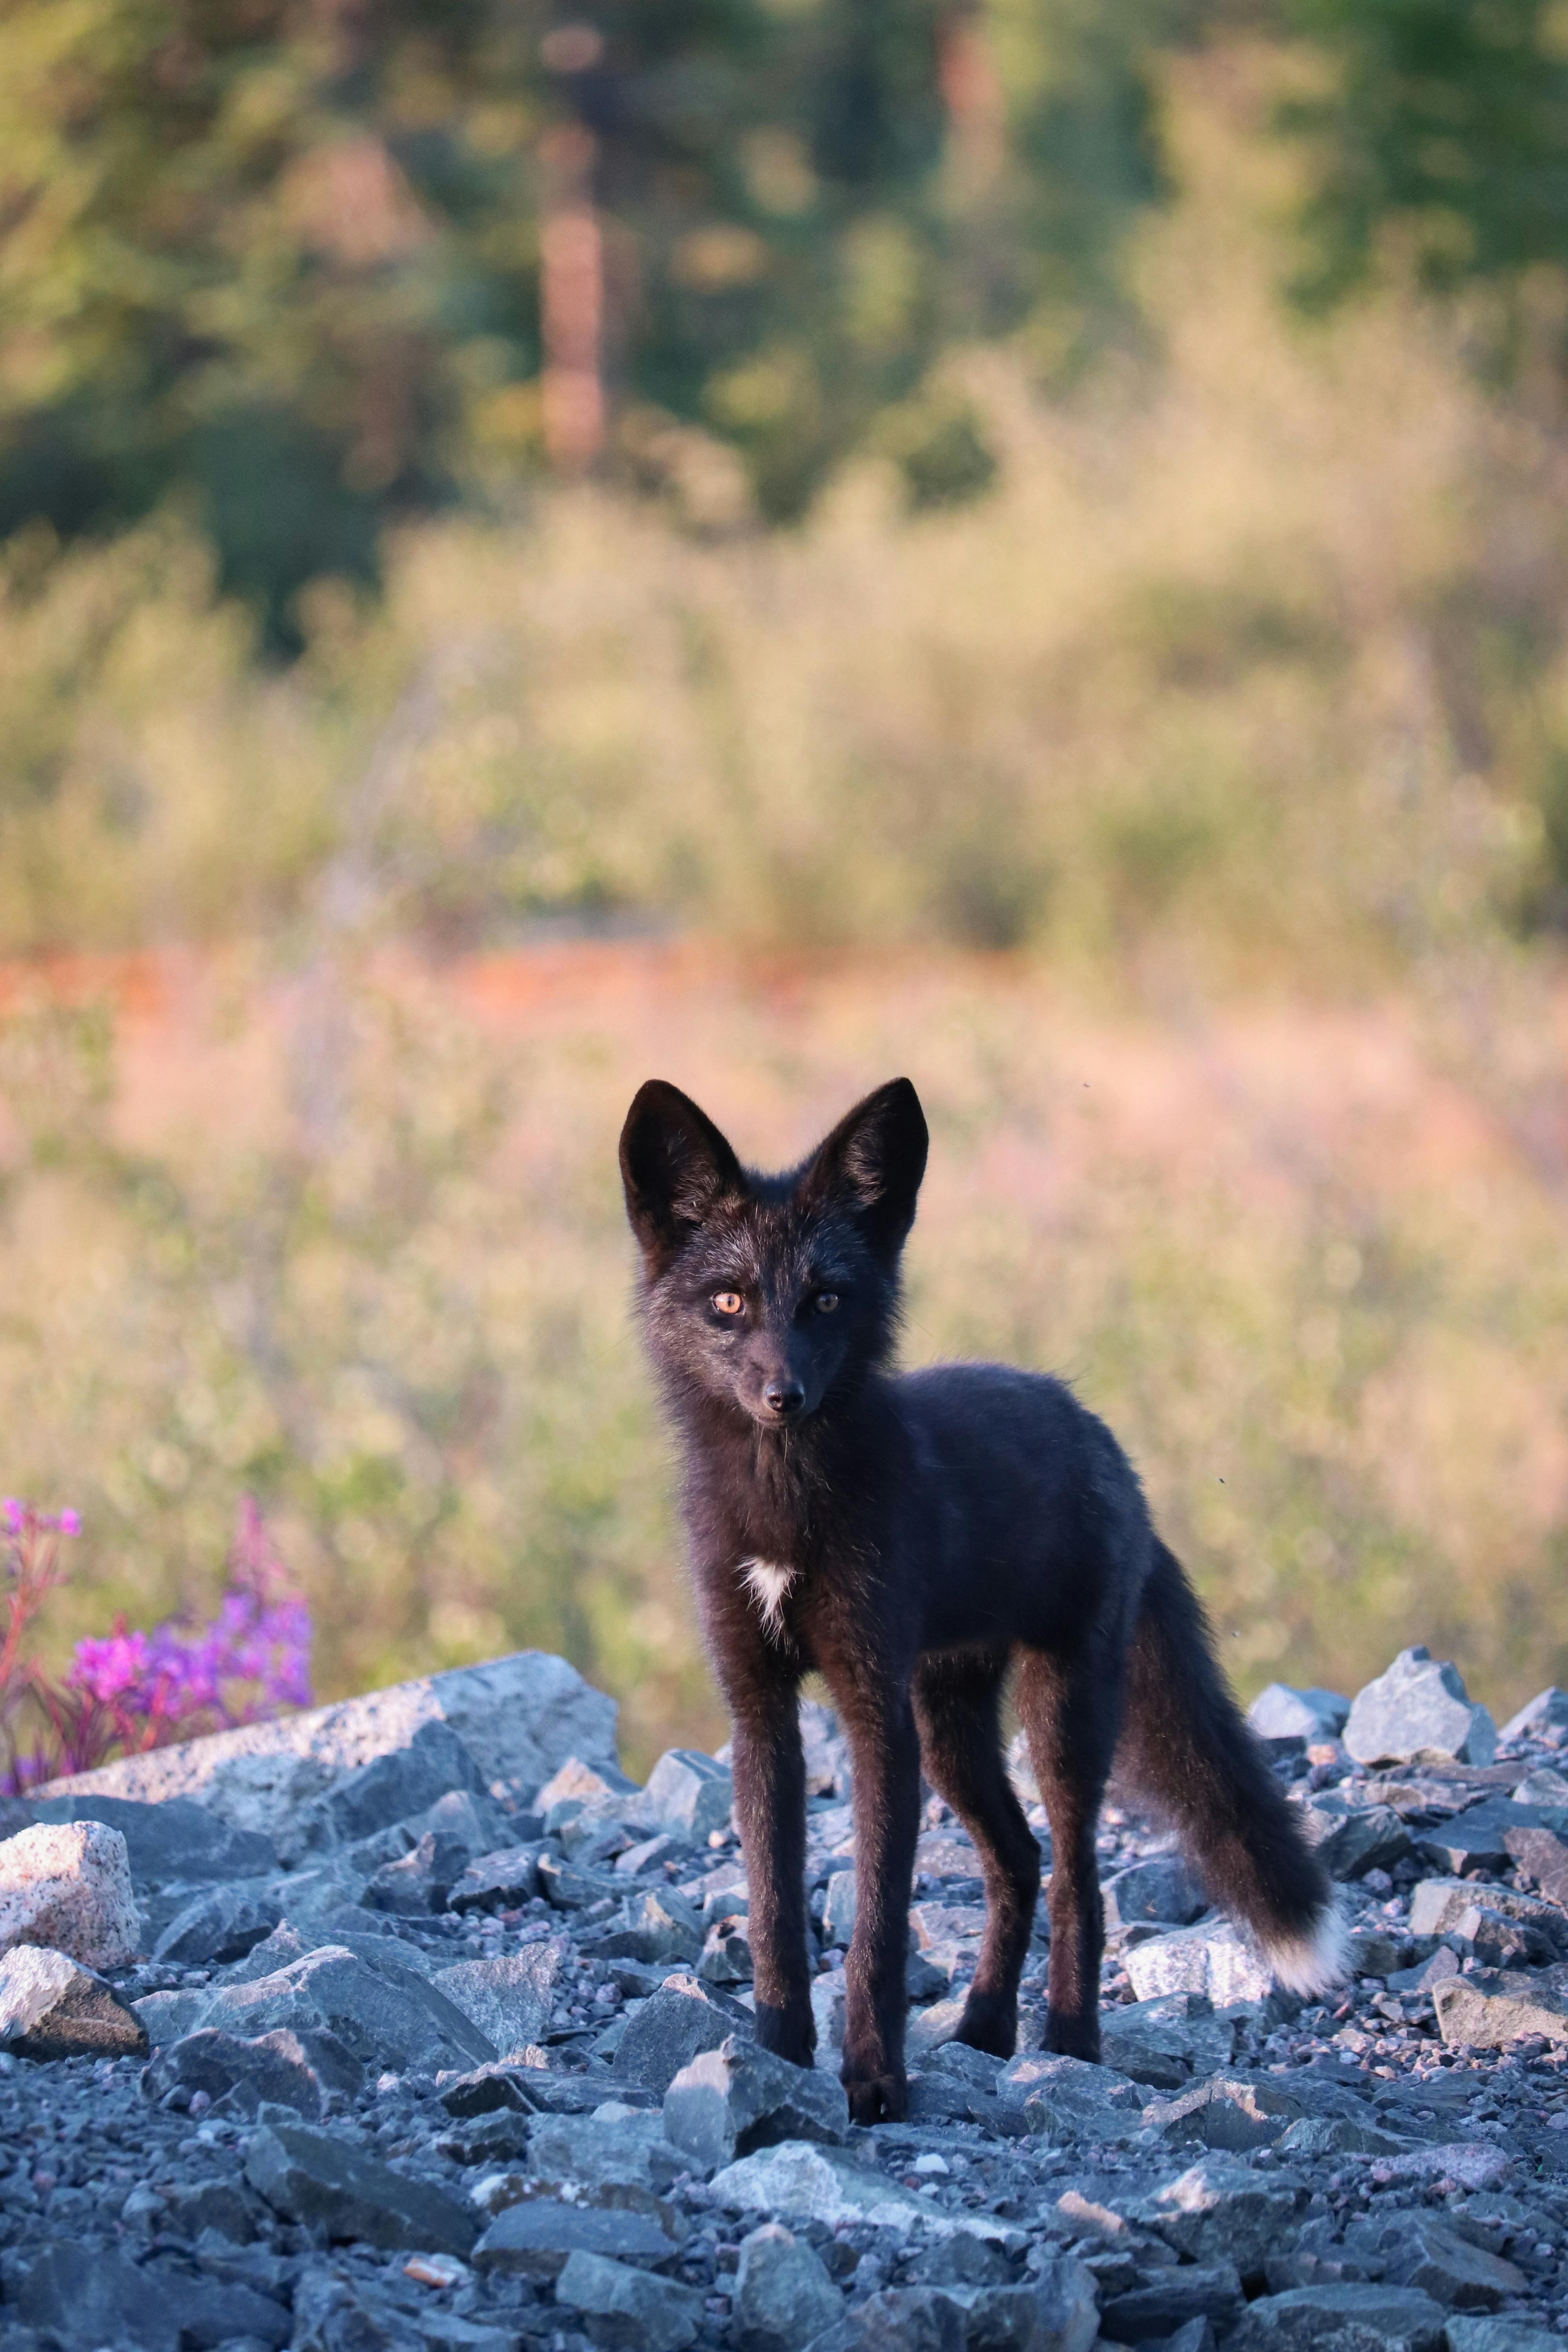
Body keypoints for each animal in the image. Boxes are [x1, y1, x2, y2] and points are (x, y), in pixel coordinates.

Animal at [618, 1074, 1346, 2125]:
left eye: (826, 1298)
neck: (785, 1513)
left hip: (1057, 1716)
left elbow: (879, 1928)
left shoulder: (874, 1709)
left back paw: (1069, 2042)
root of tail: (1107, 1448)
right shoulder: (759, 1709)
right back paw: (984, 2031)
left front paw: (875, 2082)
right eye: (728, 1301)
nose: (781, 1395)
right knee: (1019, 1861)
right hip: (955, 1728)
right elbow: (772, 1914)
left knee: (1077, 1878)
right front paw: (773, 2057)